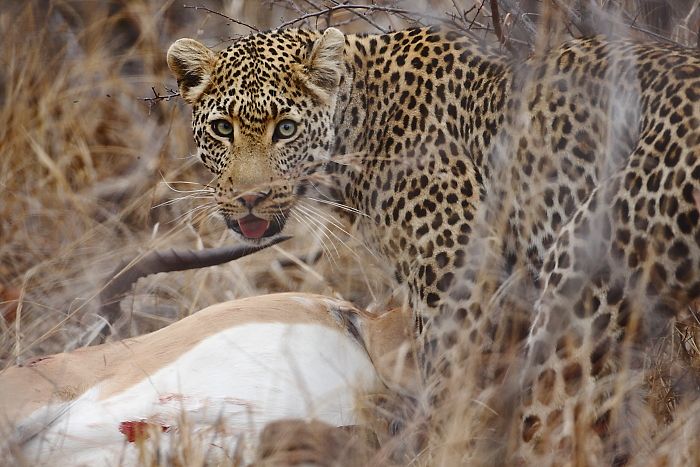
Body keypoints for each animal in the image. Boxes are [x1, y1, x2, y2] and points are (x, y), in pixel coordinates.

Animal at [167, 25, 700, 464]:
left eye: (286, 129)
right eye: (222, 129)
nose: (250, 197)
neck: (359, 125)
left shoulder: (459, 289)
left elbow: (452, 397)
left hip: (581, 286)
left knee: (555, 427)